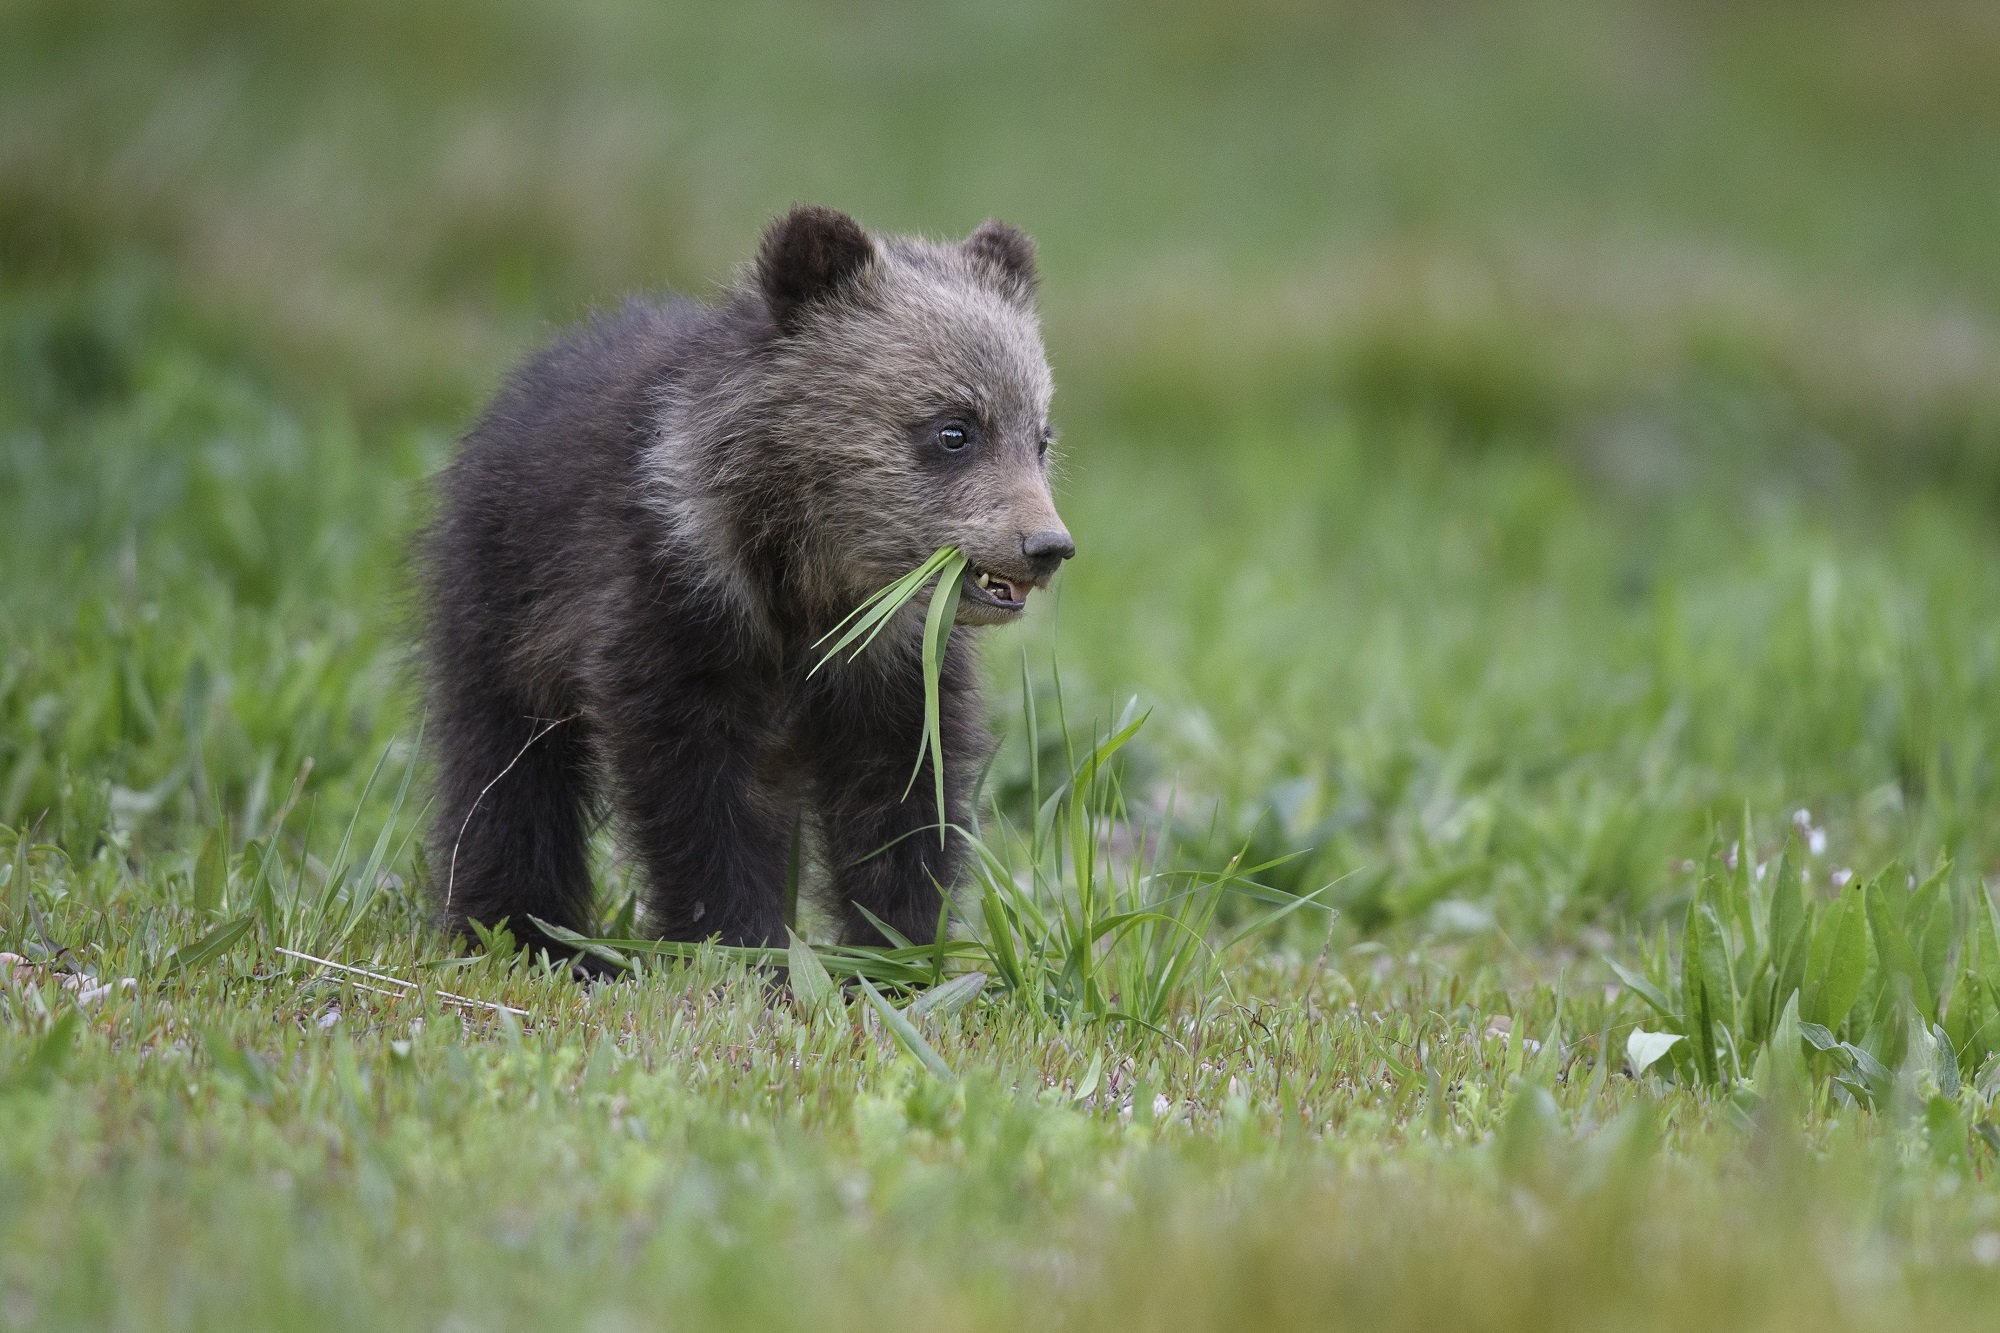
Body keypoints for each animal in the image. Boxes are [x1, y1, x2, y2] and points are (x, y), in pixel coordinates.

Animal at [418, 205, 1073, 962]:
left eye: (1040, 437)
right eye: (955, 429)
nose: (1046, 545)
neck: (809, 579)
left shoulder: (889, 662)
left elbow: (902, 795)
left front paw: (895, 949)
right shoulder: (675, 604)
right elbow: (696, 795)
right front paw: (738, 941)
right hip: (503, 594)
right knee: (506, 769)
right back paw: (521, 929)